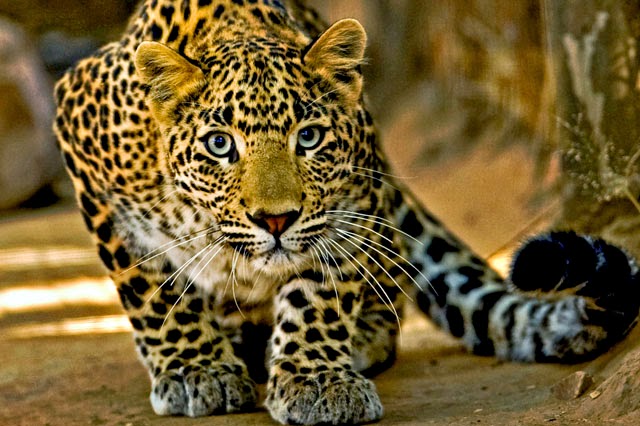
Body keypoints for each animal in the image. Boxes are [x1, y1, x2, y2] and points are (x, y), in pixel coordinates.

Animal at [53, 0, 640, 424]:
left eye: (309, 138)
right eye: (220, 145)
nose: (275, 220)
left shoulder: (350, 205)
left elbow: (319, 295)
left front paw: (316, 381)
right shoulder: (81, 137)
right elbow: (151, 289)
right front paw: (196, 371)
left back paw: (358, 339)